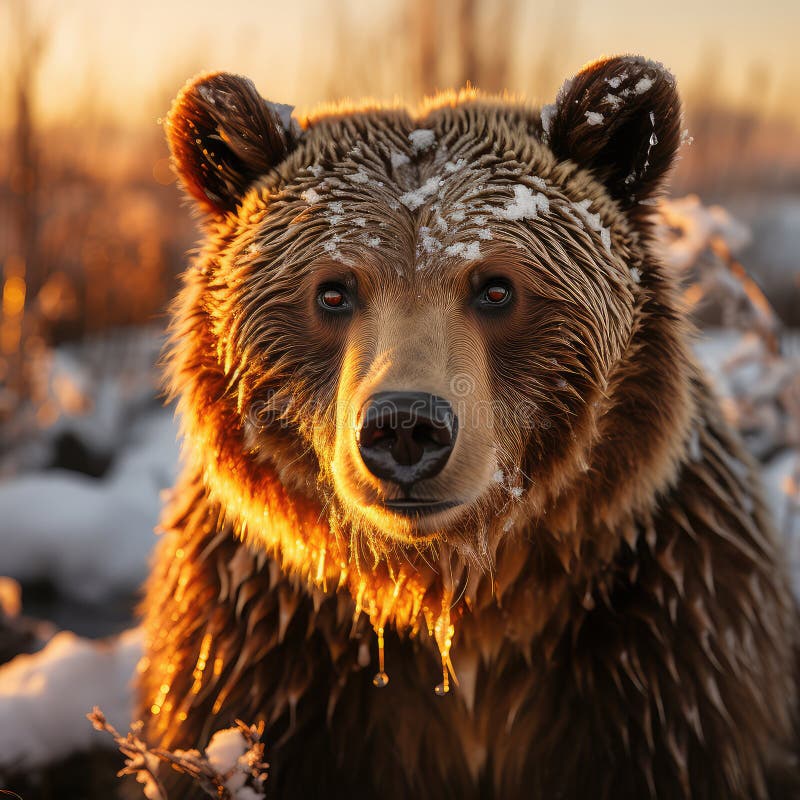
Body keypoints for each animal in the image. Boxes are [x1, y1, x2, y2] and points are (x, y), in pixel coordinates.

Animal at [137, 55, 799, 799]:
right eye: (332, 290)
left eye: (496, 287)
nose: (405, 426)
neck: (456, 596)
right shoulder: (258, 639)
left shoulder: (672, 644)